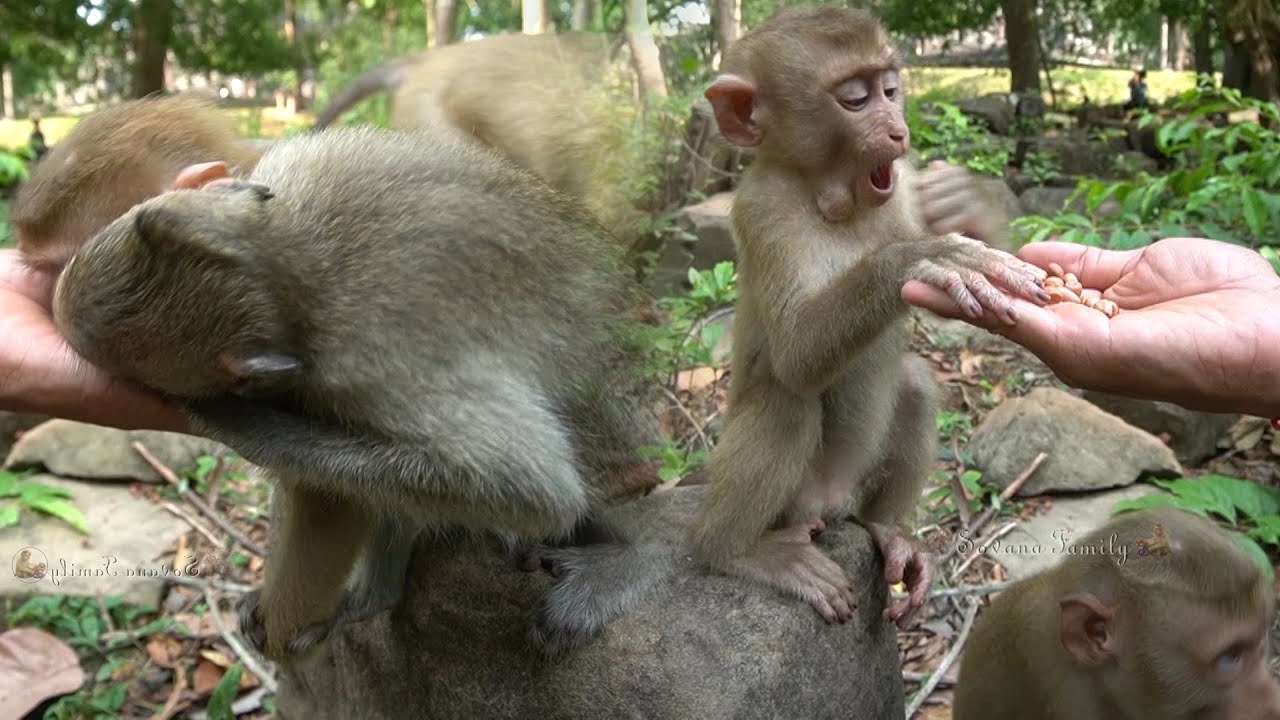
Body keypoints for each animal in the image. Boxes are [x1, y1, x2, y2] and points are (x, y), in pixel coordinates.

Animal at [50, 125, 662, 661]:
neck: (293, 260)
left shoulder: (369, 367)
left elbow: (529, 488)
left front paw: (247, 428)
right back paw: (376, 598)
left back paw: (630, 554)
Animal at [680, 6, 1050, 629]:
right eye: (854, 99)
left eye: (891, 89)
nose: (898, 131)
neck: (836, 203)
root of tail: (829, 503)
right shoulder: (762, 209)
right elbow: (797, 356)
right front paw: (920, 257)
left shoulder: (905, 184)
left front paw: (962, 201)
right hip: (792, 505)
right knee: (785, 400)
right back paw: (732, 550)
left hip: (855, 479)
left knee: (916, 383)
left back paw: (887, 531)